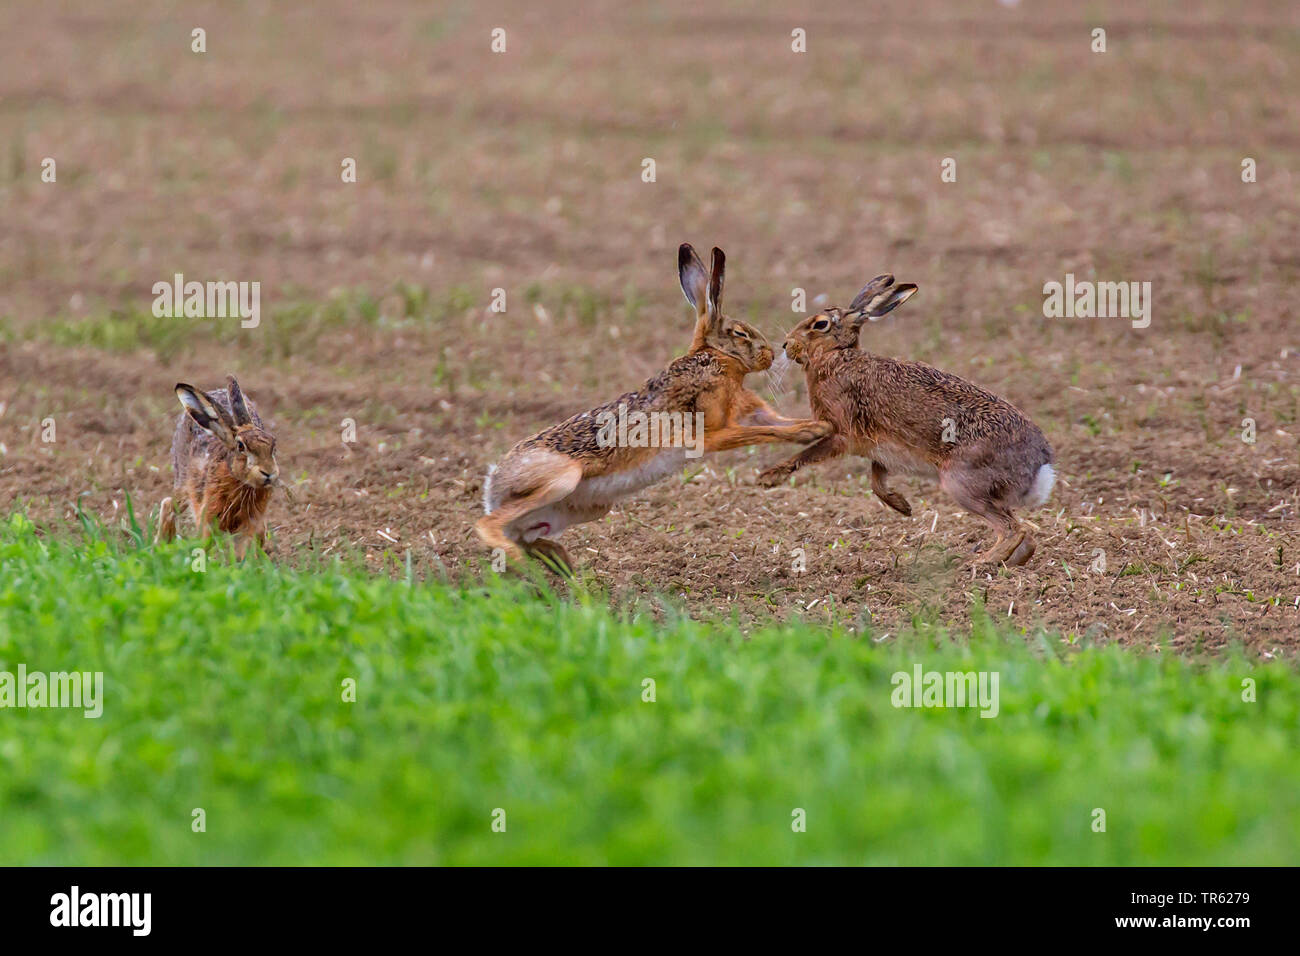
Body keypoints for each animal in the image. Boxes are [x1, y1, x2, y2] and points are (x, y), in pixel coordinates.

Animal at [156, 375, 281, 558]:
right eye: (241, 446)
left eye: (273, 444)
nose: (269, 472)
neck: (242, 484)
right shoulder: (208, 516)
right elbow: (206, 543)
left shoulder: (251, 523)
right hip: (184, 484)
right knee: (169, 504)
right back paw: (161, 545)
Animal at [476, 243, 833, 574]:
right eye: (739, 333)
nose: (771, 355)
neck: (715, 359)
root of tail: (493, 485)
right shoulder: (713, 433)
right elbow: (762, 431)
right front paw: (814, 430)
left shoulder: (748, 410)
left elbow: (778, 422)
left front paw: (817, 427)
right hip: (562, 479)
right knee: (488, 524)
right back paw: (519, 560)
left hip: (589, 508)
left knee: (525, 534)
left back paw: (560, 563)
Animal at [758, 275, 1055, 566]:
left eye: (820, 324)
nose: (786, 344)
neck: (837, 355)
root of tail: (1040, 462)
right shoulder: (880, 451)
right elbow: (876, 482)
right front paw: (902, 506)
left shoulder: (841, 433)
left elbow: (808, 454)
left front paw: (768, 479)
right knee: (1025, 535)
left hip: (961, 484)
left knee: (1013, 529)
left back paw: (979, 562)